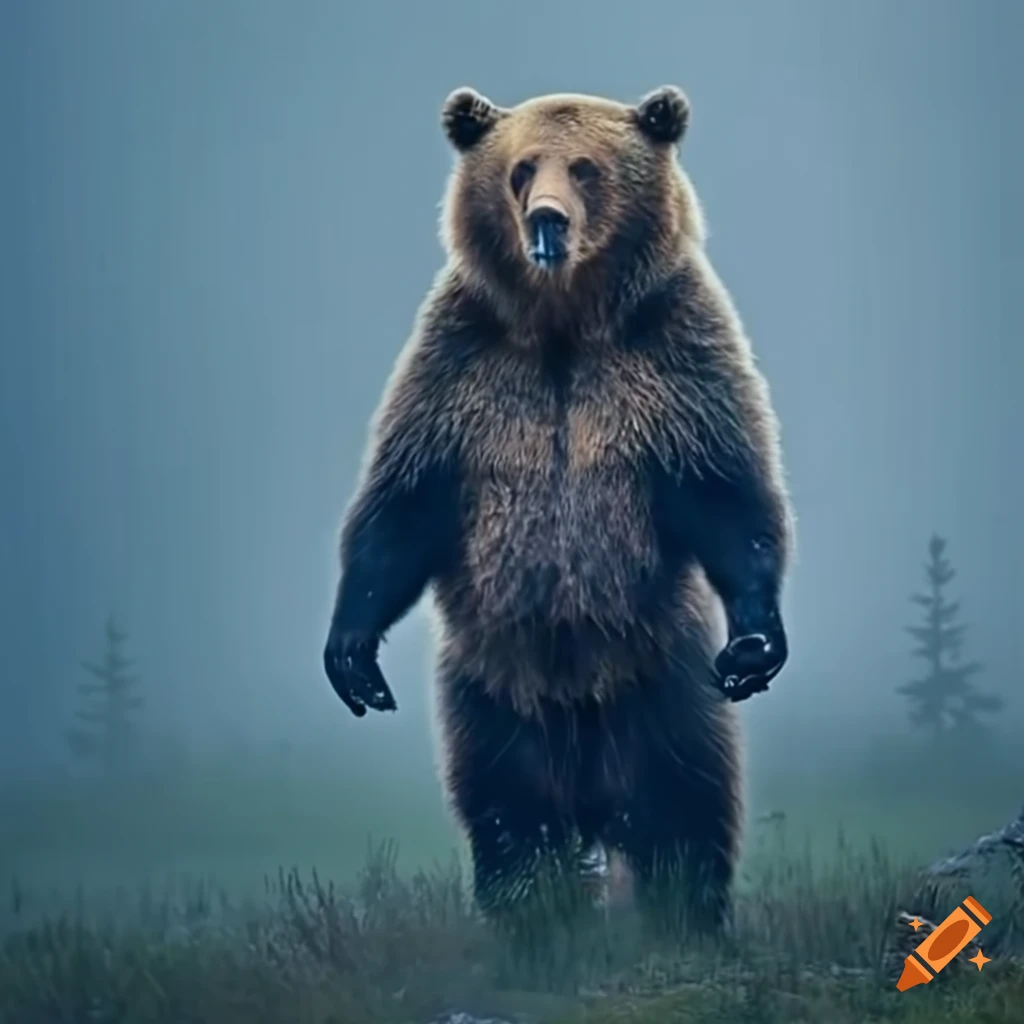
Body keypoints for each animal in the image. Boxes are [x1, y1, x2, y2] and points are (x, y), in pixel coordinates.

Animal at [323, 85, 794, 938]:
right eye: (519, 169)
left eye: (586, 167)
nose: (547, 220)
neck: (564, 323)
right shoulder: (460, 365)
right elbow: (402, 506)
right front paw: (353, 660)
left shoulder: (677, 352)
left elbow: (729, 490)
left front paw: (755, 642)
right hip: (490, 702)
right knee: (511, 819)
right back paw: (531, 922)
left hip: (661, 683)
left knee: (685, 805)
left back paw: (688, 921)